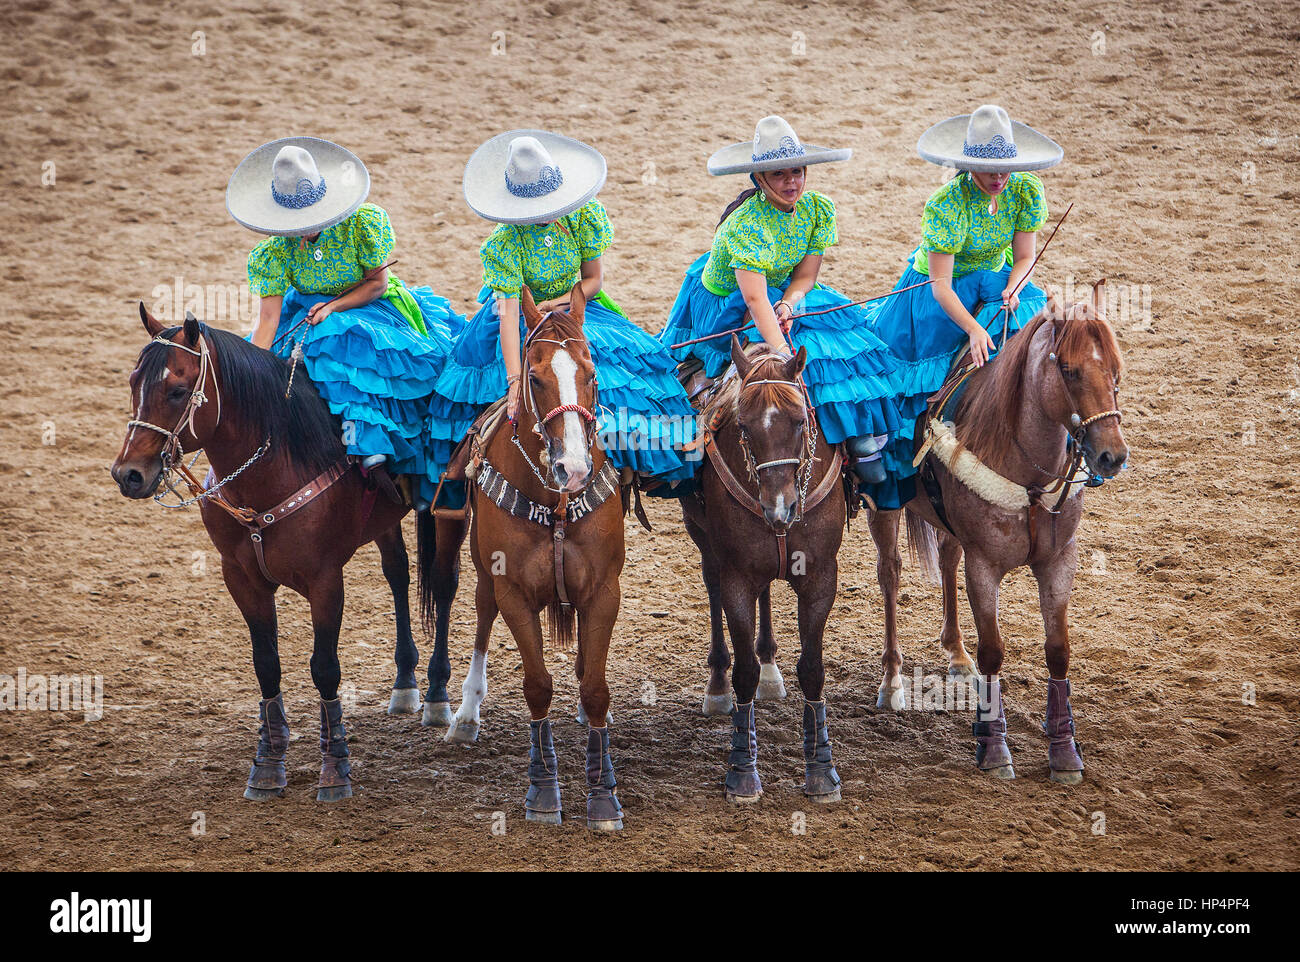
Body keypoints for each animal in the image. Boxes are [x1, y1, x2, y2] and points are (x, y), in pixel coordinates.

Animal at [110, 306, 466, 802]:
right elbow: (266, 666)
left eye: (178, 390)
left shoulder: (326, 580)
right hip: (385, 520)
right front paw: (267, 764)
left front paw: (335, 769)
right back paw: (405, 682)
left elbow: (325, 669)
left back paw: (436, 694)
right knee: (398, 574)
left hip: (451, 510)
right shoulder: (241, 578)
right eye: (132, 383)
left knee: (445, 584)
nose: (128, 474)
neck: (273, 468)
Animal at [437, 284, 627, 831]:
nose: (574, 468)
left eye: (591, 373)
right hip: (484, 574)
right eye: (536, 377)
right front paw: (543, 790)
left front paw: (603, 796)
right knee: (482, 616)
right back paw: (465, 716)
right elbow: (538, 686)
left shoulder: (605, 590)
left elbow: (596, 689)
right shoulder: (514, 592)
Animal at [681, 336, 849, 804]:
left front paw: (821, 769)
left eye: (799, 420)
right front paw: (742, 770)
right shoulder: (737, 577)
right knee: (713, 585)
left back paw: (772, 666)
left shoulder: (820, 579)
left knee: (767, 595)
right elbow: (744, 673)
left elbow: (812, 670)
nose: (780, 508)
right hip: (704, 540)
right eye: (744, 425)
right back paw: (717, 683)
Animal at [867, 281, 1128, 783]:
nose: (1112, 455)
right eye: (1068, 370)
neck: (1028, 476)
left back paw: (955, 652)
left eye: (1116, 370)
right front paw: (993, 747)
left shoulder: (1059, 560)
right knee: (889, 575)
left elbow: (1058, 649)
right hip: (883, 507)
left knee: (947, 557)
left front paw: (1065, 752)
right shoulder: (984, 565)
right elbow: (993, 651)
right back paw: (891, 680)